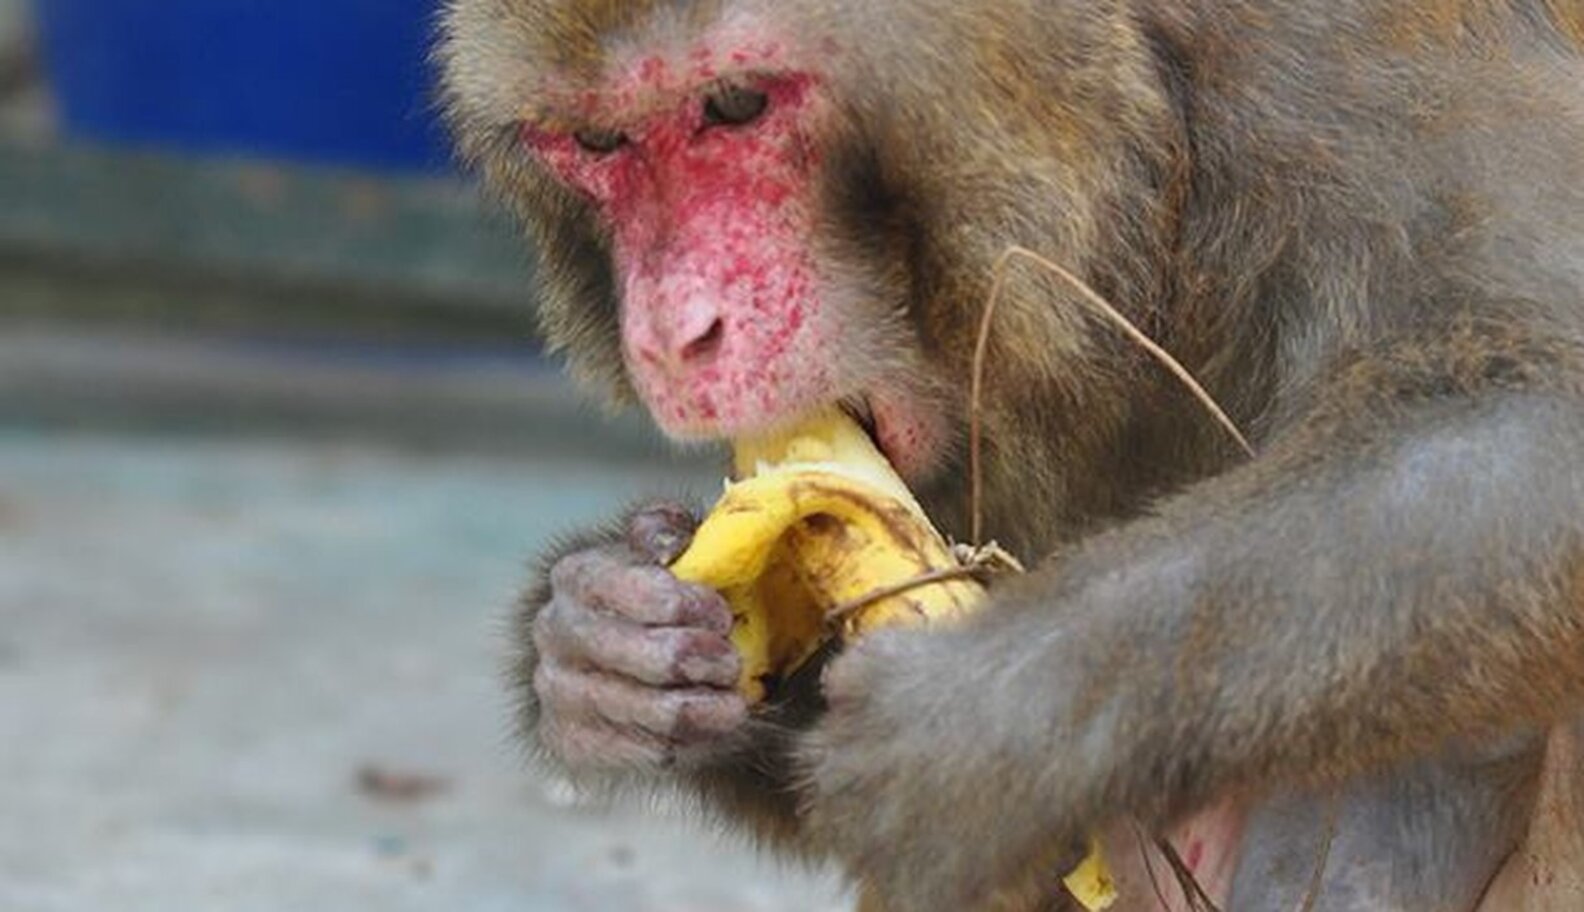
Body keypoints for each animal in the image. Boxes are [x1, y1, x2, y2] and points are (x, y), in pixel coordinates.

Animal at [438, 1, 1584, 909]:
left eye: (735, 105)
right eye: (598, 142)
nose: (673, 334)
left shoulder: (1348, 70)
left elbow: (1539, 423)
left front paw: (981, 728)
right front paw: (596, 647)